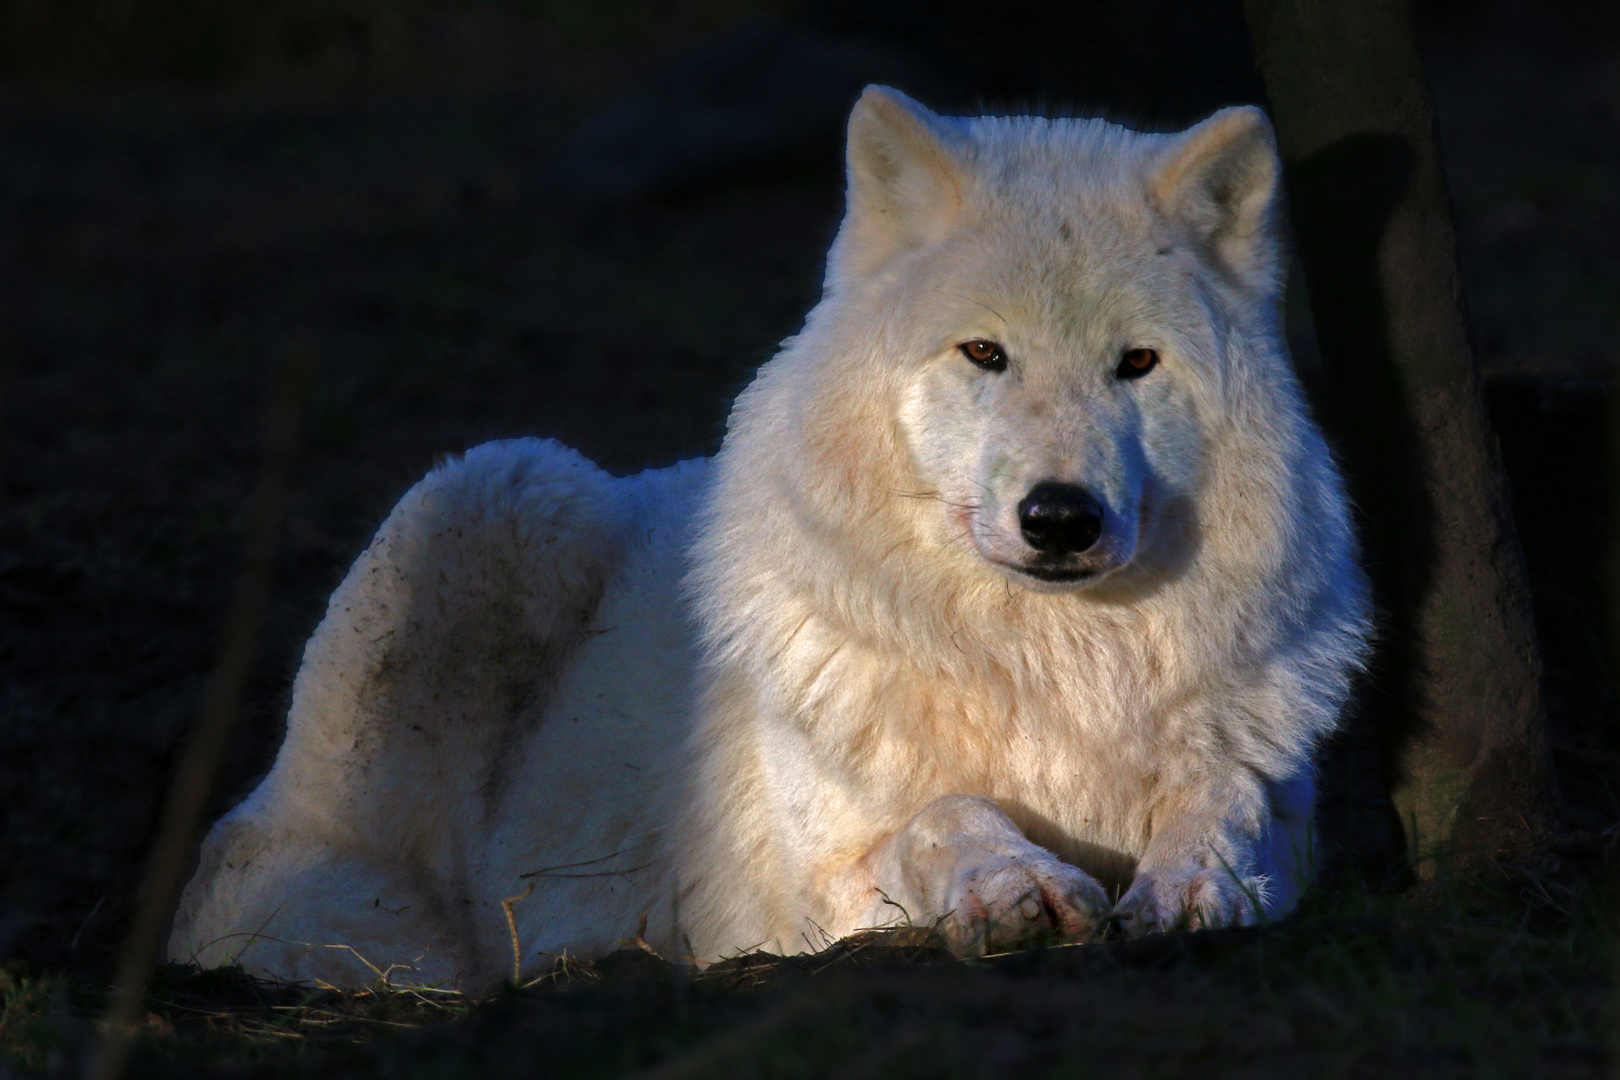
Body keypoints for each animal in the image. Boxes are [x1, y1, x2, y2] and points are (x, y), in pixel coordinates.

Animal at [174, 90, 1367, 990]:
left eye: (1138, 364)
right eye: (984, 354)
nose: (1060, 516)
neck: (1054, 672)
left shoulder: (1292, 808)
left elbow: (1227, 794)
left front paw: (1197, 880)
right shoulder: (801, 895)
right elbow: (940, 814)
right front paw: (1010, 885)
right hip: (508, 486)